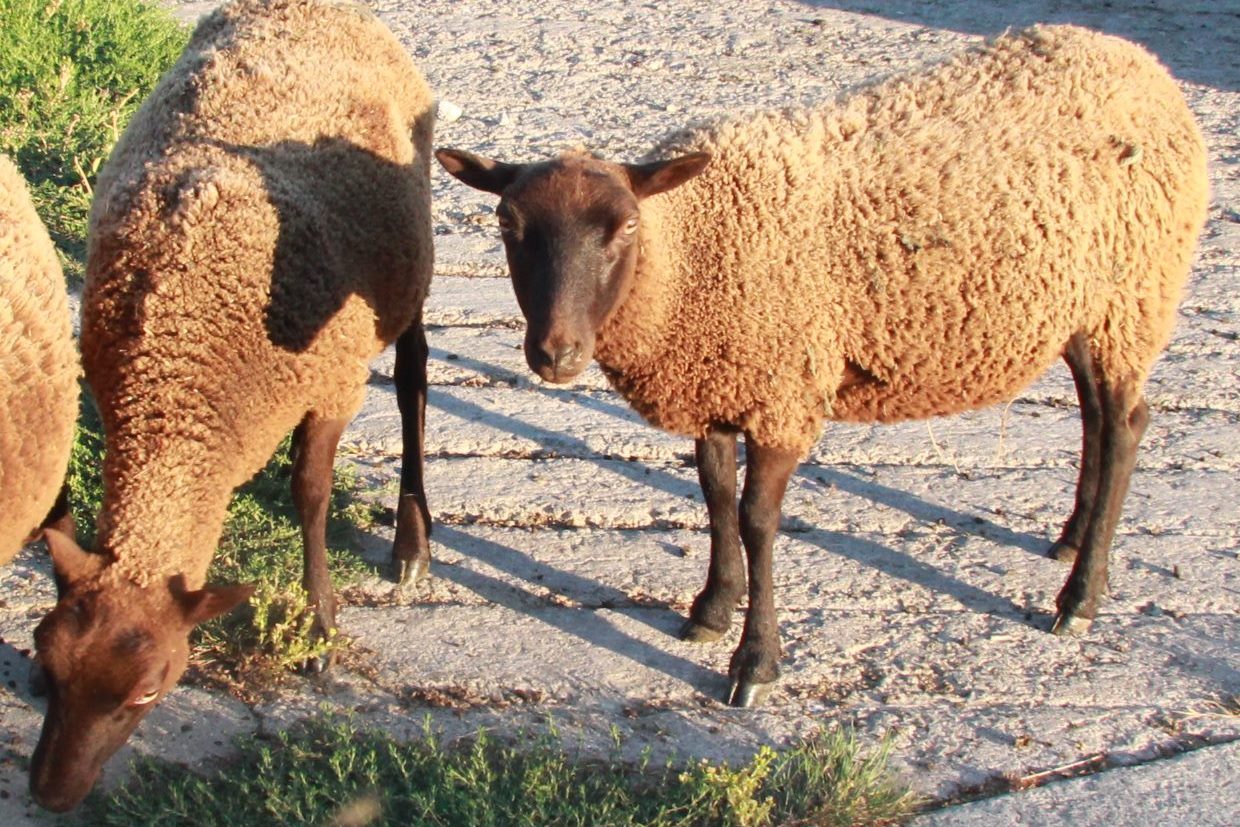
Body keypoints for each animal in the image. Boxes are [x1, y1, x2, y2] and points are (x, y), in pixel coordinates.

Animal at [28, 0, 435, 811]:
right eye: (45, 659)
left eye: (150, 691)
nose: (51, 794)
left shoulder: (332, 379)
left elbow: (311, 492)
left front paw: (320, 629)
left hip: (405, 275)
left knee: (413, 376)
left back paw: (411, 541)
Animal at [436, 25, 1209, 708]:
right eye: (507, 225)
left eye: (625, 225)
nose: (555, 353)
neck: (692, 249)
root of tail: (1140, 63)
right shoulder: (720, 378)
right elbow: (714, 493)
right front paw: (712, 609)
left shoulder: (783, 392)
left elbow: (756, 518)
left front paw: (755, 663)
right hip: (1084, 306)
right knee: (1098, 416)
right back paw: (1071, 538)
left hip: (1133, 295)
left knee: (1127, 424)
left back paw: (1081, 595)